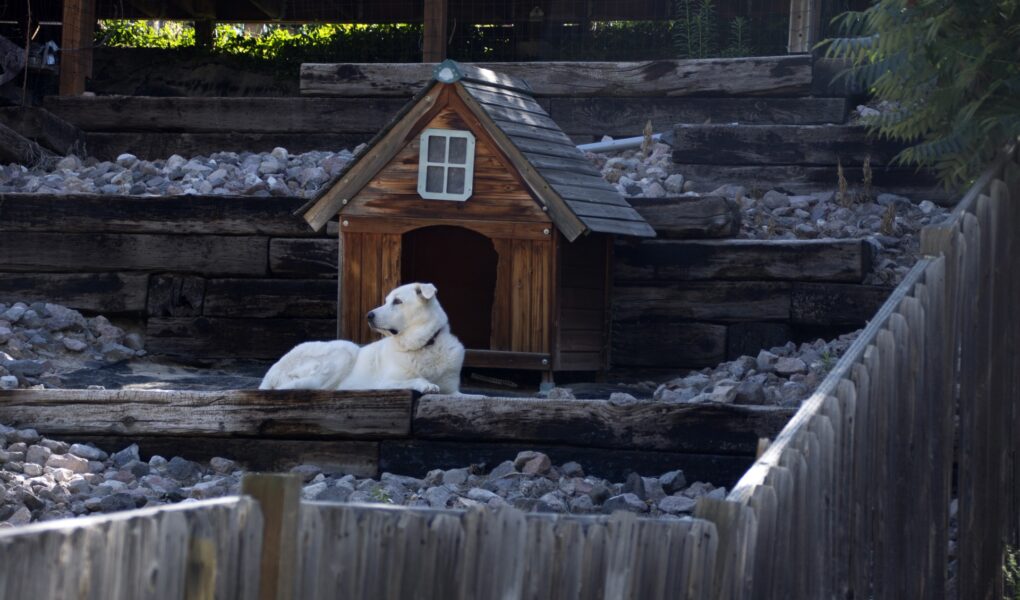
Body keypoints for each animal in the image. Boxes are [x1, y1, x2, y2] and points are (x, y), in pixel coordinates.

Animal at [257, 281, 465, 393]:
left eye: (397, 301)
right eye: (386, 301)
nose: (368, 315)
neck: (425, 345)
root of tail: (272, 370)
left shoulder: (453, 391)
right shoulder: (385, 383)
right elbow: (415, 380)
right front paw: (427, 385)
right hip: (344, 351)